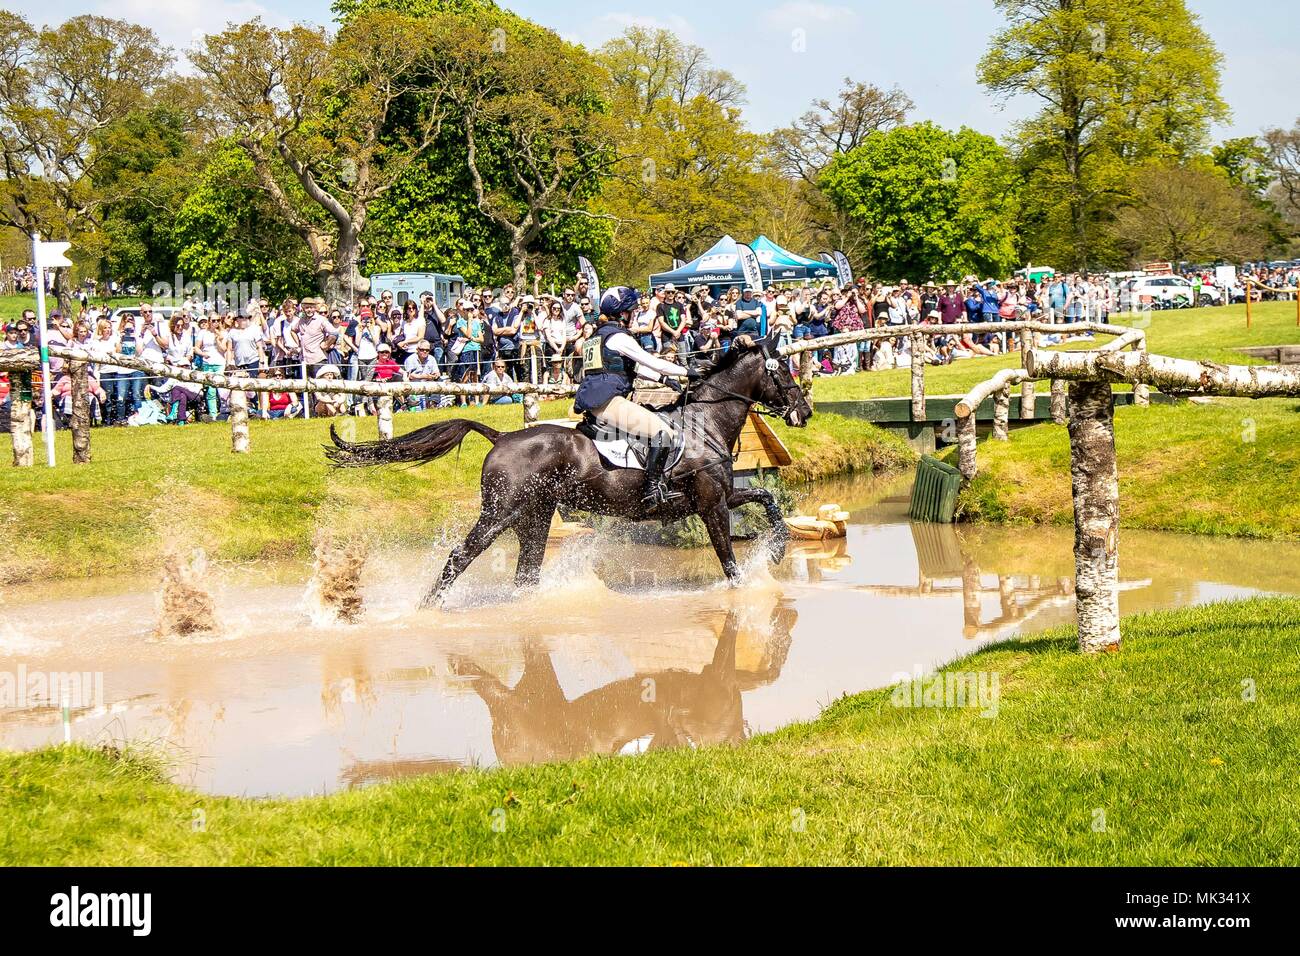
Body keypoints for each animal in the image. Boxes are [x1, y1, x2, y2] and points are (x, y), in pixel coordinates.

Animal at [325, 337, 812, 608]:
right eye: (783, 372)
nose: (804, 412)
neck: (704, 422)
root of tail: (501, 436)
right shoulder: (711, 504)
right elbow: (728, 558)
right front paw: (747, 586)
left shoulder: (720, 496)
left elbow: (767, 501)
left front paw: (776, 551)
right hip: (499, 513)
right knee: (459, 556)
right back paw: (426, 606)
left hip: (535, 516)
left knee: (526, 572)